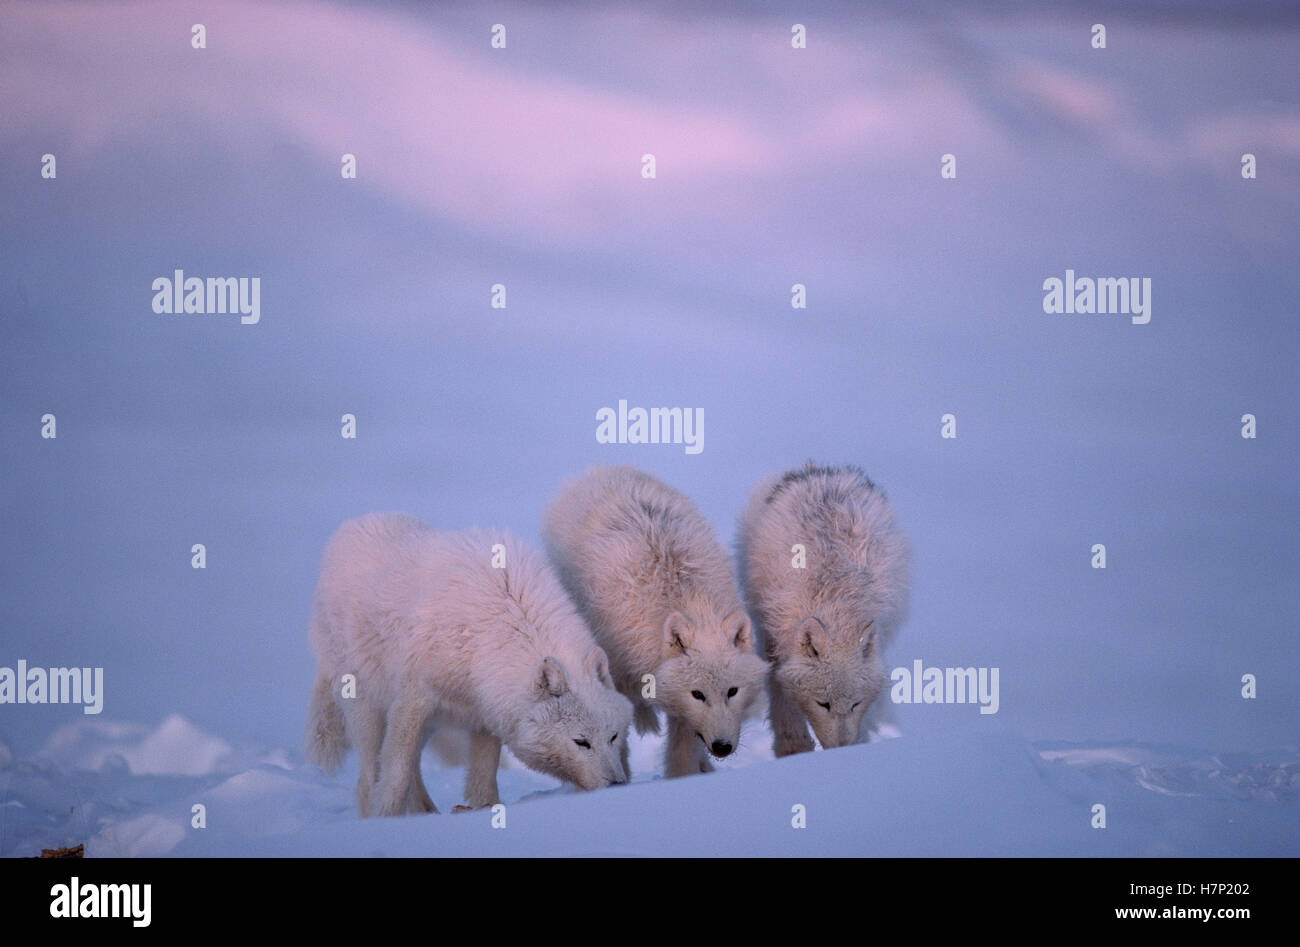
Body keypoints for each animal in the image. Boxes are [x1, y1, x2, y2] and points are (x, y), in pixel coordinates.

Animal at [305, 513, 633, 817]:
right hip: (368, 711)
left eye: (614, 737)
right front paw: (386, 818)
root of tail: (349, 529)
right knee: (369, 777)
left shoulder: (485, 716)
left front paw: (484, 809)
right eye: (581, 742)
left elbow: (483, 780)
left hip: (429, 725)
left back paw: (427, 812)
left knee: (412, 771)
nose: (617, 785)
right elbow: (396, 775)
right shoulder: (412, 701)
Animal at [543, 467, 769, 778]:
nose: (722, 747)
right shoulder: (617, 675)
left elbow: (682, 750)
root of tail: (601, 470)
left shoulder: (680, 710)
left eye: (732, 691)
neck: (684, 597)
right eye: (698, 694)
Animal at [737, 463, 910, 756]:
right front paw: (793, 747)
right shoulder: (777, 636)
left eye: (855, 704)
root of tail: (816, 468)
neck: (836, 599)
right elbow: (781, 692)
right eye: (822, 704)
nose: (840, 750)